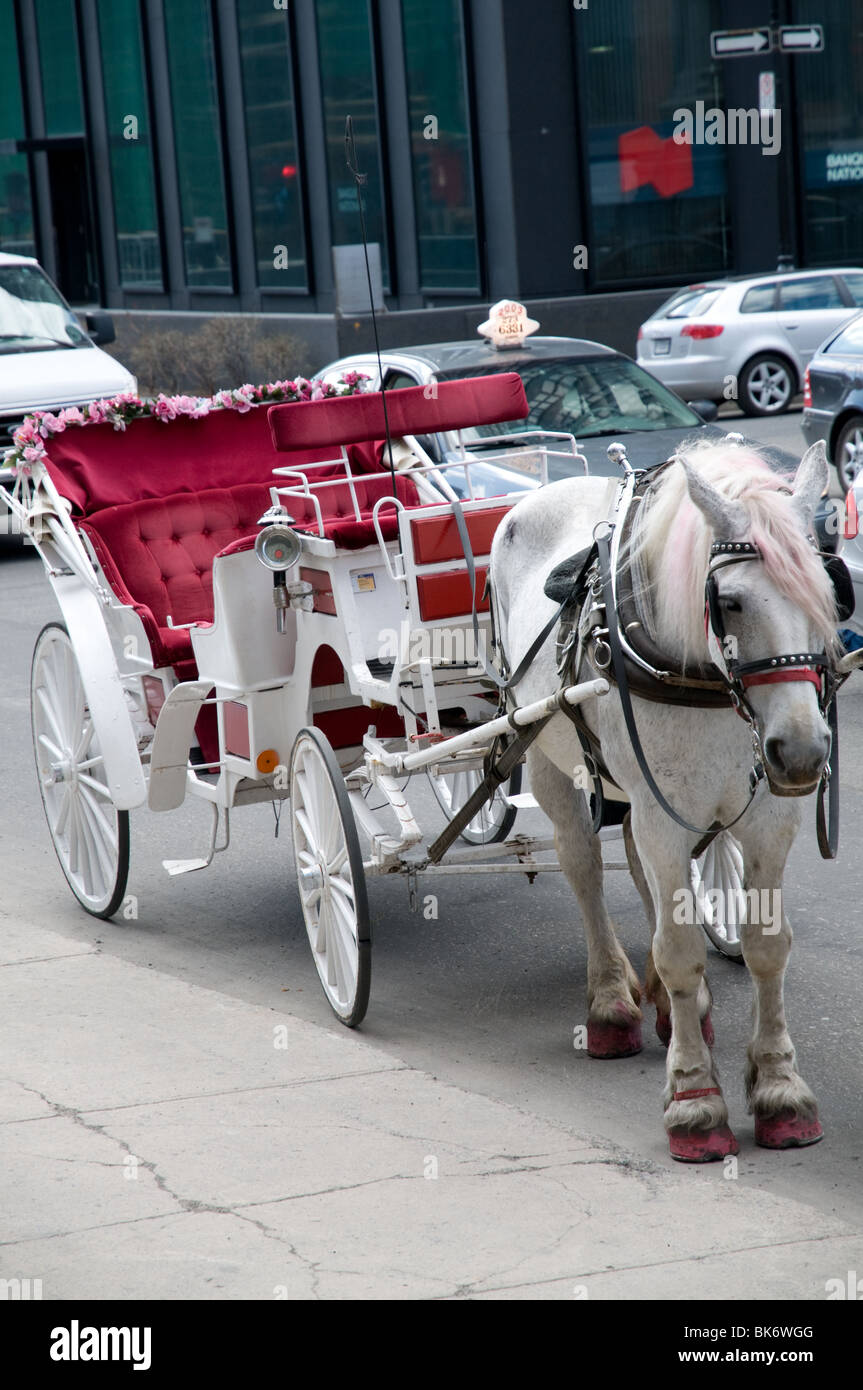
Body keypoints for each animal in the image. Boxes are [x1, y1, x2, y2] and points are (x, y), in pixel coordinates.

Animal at [489, 438, 839, 1161]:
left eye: (824, 590)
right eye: (729, 601)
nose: (800, 751)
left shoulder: (768, 819)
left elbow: (765, 945)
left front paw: (779, 1088)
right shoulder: (657, 811)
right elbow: (677, 946)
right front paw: (694, 1101)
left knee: (640, 873)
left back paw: (678, 1008)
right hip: (545, 755)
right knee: (583, 866)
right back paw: (610, 1005)